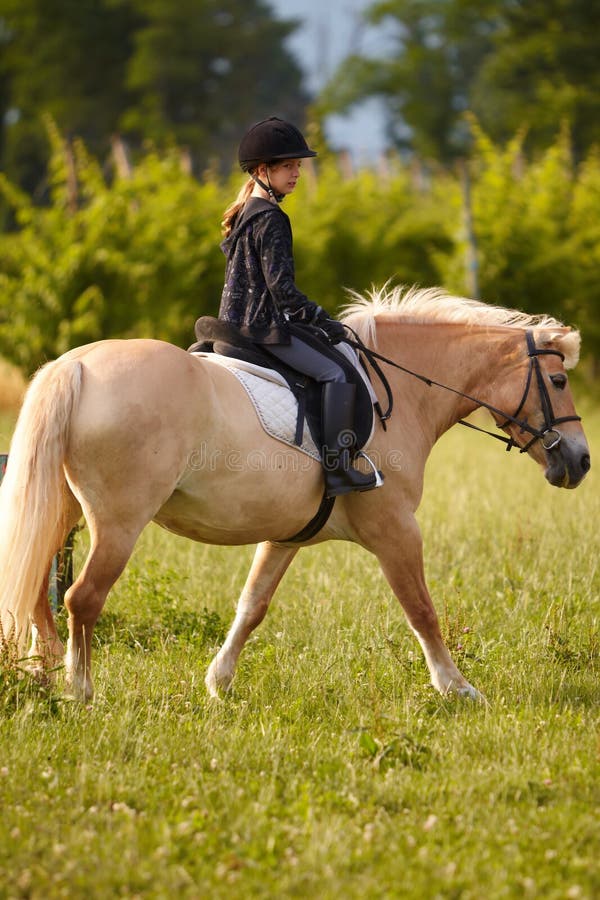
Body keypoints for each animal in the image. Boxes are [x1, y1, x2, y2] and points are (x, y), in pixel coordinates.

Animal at [0, 286, 590, 702]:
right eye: (559, 382)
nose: (581, 461)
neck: (395, 393)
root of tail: (77, 364)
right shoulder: (395, 529)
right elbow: (421, 609)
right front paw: (456, 687)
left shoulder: (286, 537)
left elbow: (252, 605)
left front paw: (219, 682)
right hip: (118, 524)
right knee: (81, 598)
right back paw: (80, 691)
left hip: (63, 512)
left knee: (37, 591)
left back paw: (42, 675)